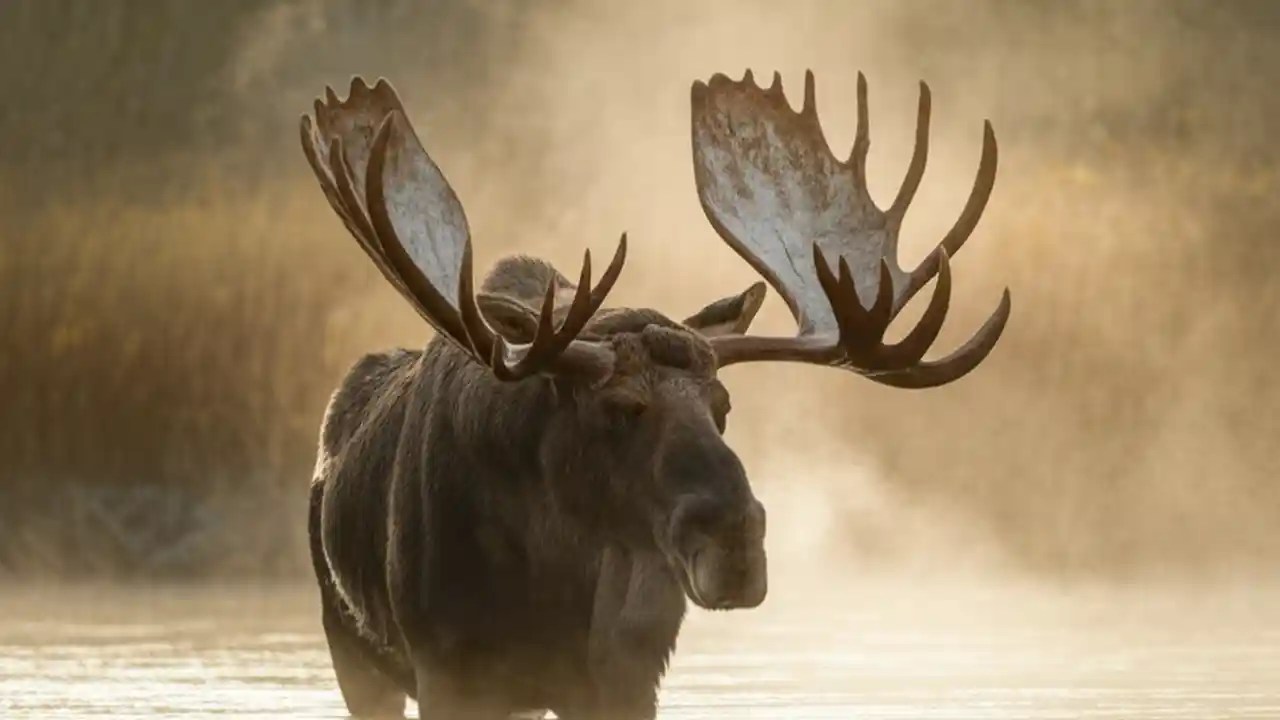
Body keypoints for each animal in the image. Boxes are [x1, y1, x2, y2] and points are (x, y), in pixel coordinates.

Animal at [301, 69, 1010, 719]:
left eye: (724, 407)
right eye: (619, 410)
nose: (736, 540)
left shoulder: (626, 676)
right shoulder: (448, 669)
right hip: (350, 648)